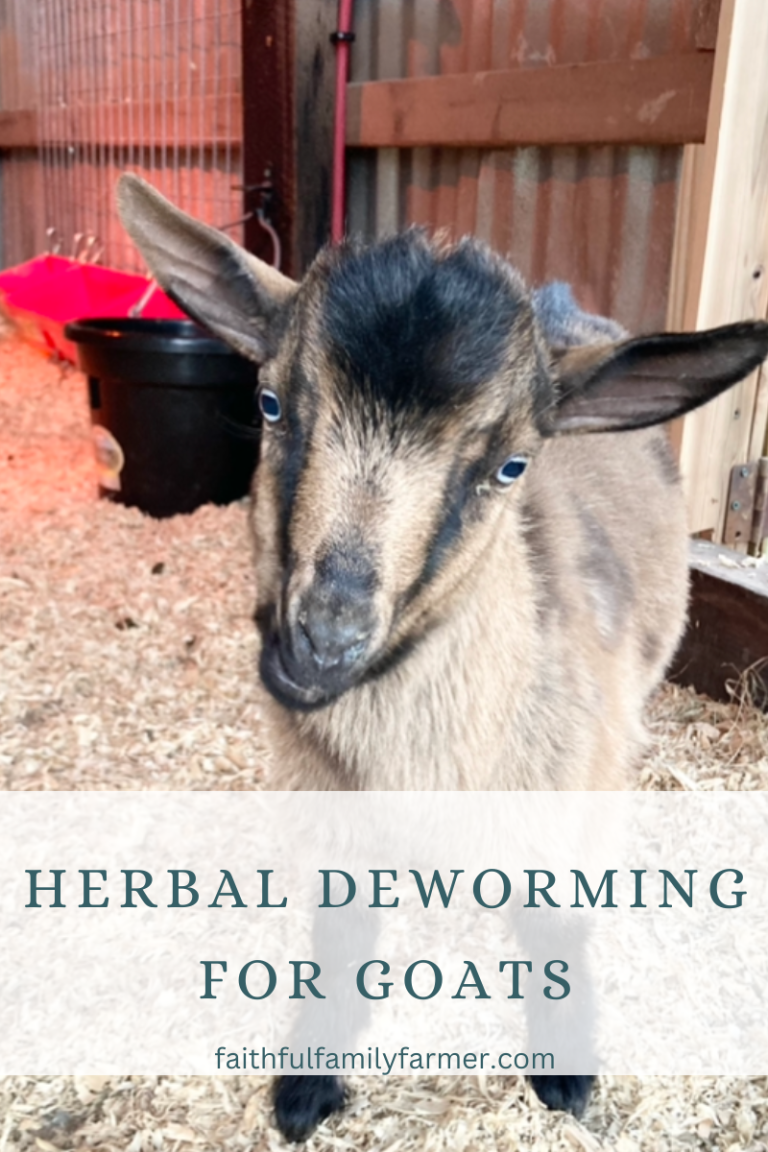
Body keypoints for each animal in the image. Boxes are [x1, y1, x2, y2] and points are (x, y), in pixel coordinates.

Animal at [117, 173, 768, 1141]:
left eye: (511, 465)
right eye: (270, 404)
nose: (325, 639)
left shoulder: (565, 803)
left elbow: (558, 929)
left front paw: (567, 1077)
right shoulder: (333, 816)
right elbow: (339, 941)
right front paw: (307, 1085)